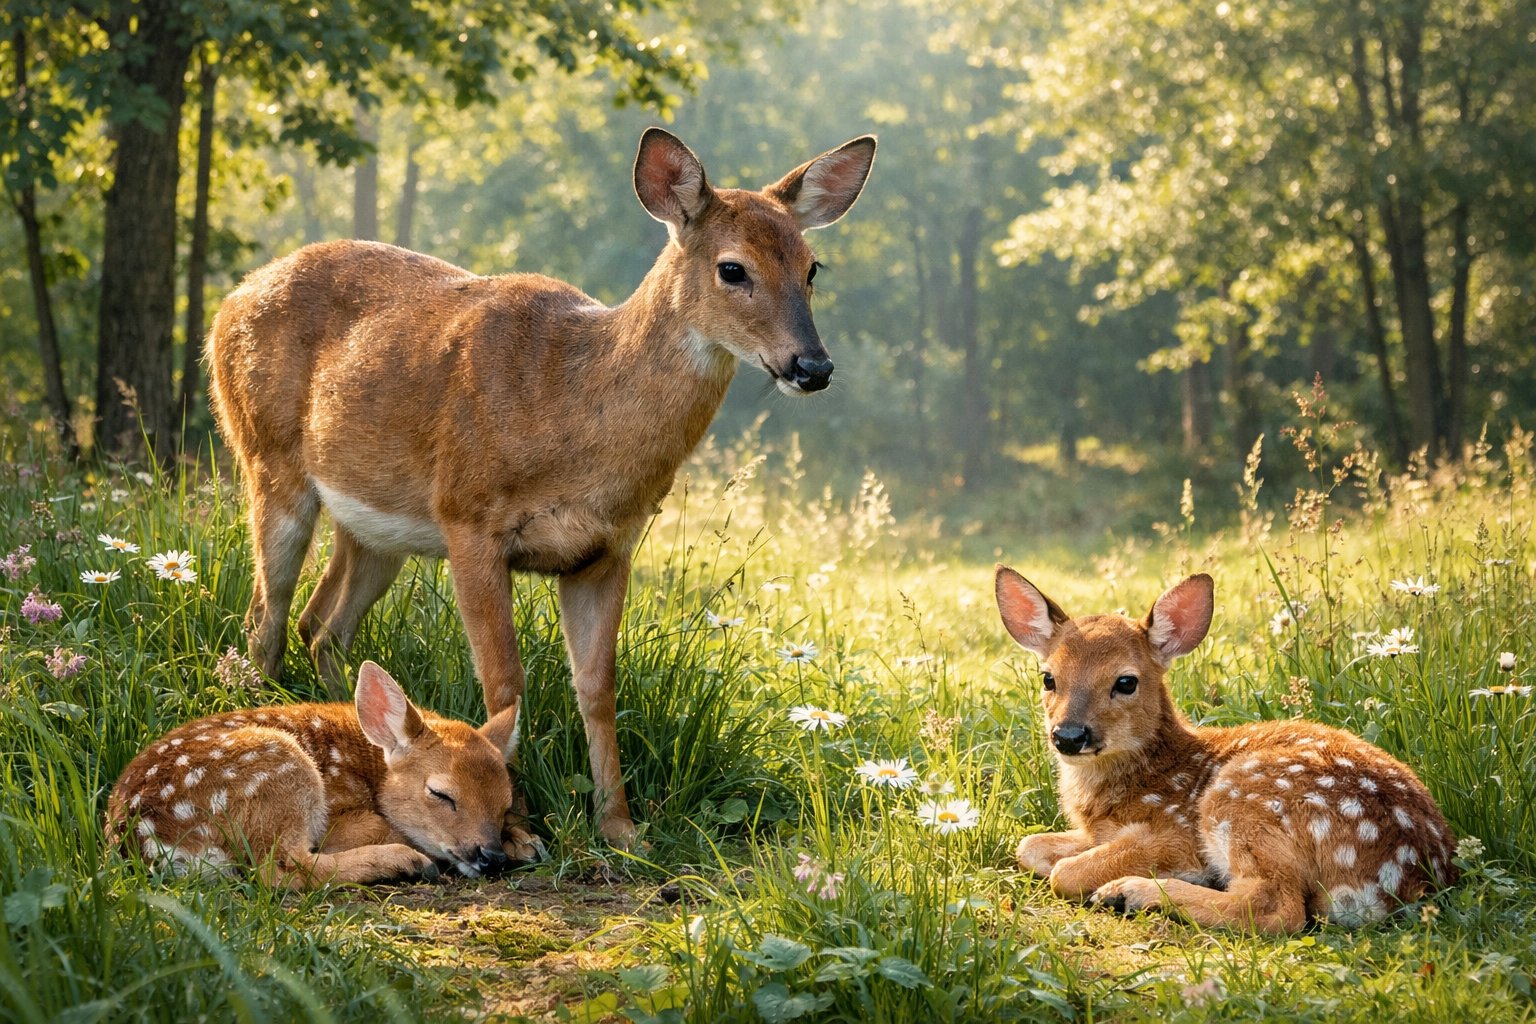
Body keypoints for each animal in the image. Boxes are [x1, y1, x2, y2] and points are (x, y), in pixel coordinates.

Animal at [105, 661, 518, 888]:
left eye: (506, 804)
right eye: (441, 794)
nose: (491, 856)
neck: (370, 765)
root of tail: (142, 841)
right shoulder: (336, 814)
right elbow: (375, 824)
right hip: (280, 770)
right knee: (281, 869)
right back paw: (404, 861)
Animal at [204, 128, 876, 857]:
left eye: (812, 267)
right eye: (733, 269)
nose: (813, 366)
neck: (570, 409)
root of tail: (231, 298)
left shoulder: (607, 550)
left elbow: (598, 687)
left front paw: (620, 827)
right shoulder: (470, 518)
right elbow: (506, 686)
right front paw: (520, 829)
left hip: (377, 529)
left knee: (321, 626)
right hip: (267, 457)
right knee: (262, 620)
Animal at [996, 566, 1457, 933]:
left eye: (1125, 681)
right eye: (1048, 678)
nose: (1069, 736)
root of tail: (1412, 876)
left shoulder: (1177, 832)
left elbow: (1065, 871)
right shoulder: (1098, 832)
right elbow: (1029, 846)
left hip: (1243, 798)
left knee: (1277, 907)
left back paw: (1132, 892)